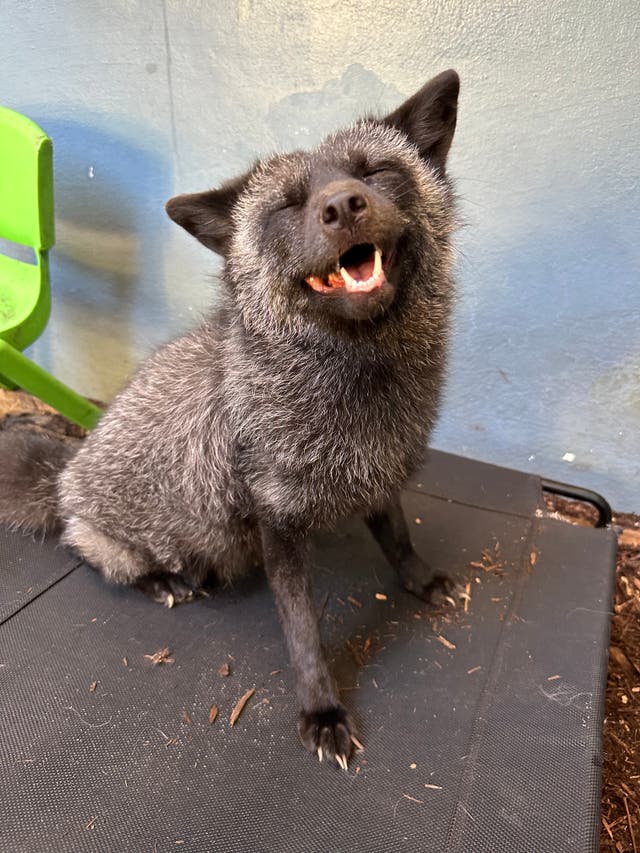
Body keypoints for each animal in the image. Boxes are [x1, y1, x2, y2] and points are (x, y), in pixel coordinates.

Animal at [0, 69, 459, 769]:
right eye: (287, 206)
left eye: (375, 171)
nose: (343, 205)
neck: (362, 383)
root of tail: (63, 476)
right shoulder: (277, 524)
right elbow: (302, 630)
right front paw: (321, 709)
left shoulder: (381, 477)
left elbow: (398, 538)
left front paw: (419, 578)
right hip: (110, 543)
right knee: (96, 557)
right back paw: (164, 578)